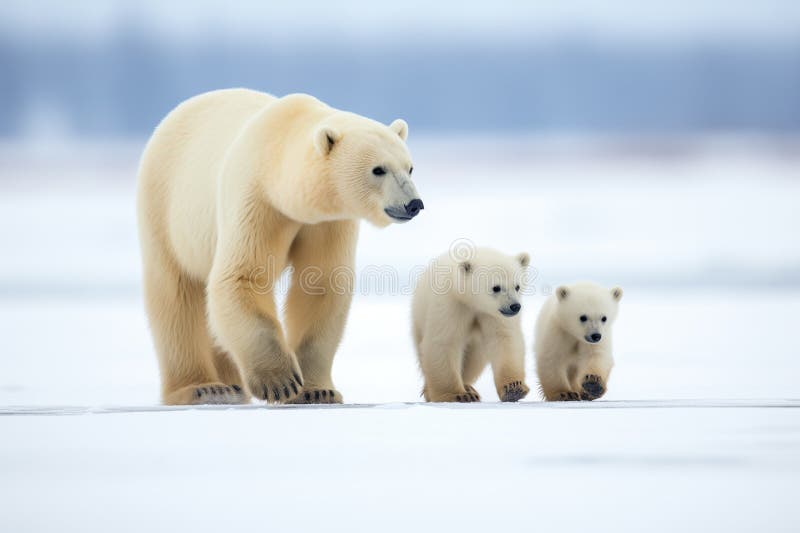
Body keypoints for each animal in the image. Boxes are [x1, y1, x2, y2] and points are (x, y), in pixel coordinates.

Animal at [137, 89, 423, 405]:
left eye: (410, 167)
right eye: (378, 169)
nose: (414, 204)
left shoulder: (328, 221)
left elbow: (321, 284)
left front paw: (317, 391)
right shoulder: (256, 198)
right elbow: (242, 275)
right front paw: (280, 381)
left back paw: (232, 386)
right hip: (164, 205)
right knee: (175, 296)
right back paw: (204, 388)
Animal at [412, 246, 531, 403]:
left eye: (517, 286)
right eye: (496, 287)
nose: (515, 306)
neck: (471, 301)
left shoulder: (493, 314)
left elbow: (504, 340)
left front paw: (514, 389)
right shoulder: (451, 304)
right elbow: (444, 341)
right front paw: (457, 395)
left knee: (473, 359)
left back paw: (469, 388)